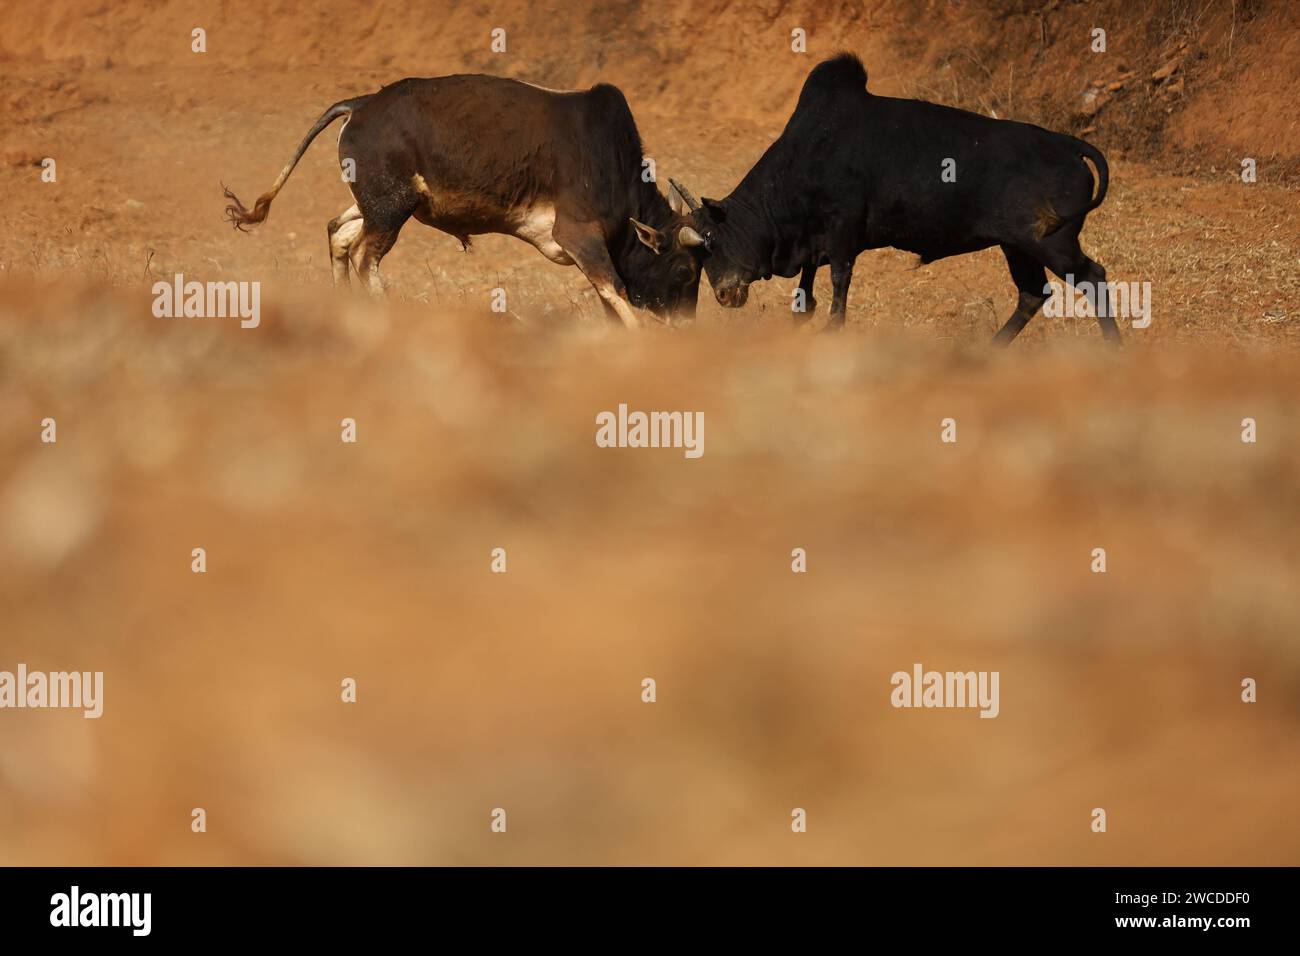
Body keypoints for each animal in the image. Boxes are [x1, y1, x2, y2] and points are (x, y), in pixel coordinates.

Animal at [222, 74, 708, 326]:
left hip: (381, 206)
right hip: (391, 210)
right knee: (363, 256)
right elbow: (617, 293)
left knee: (338, 235)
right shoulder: (579, 235)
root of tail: (362, 104)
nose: (687, 328)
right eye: (684, 270)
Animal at [671, 53, 1119, 345]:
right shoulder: (813, 243)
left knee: (1093, 276)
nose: (724, 295)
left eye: (712, 243)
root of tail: (1069, 144)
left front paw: (832, 329)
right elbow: (806, 294)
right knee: (1032, 294)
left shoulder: (842, 231)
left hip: (1051, 243)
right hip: (1017, 247)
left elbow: (838, 284)